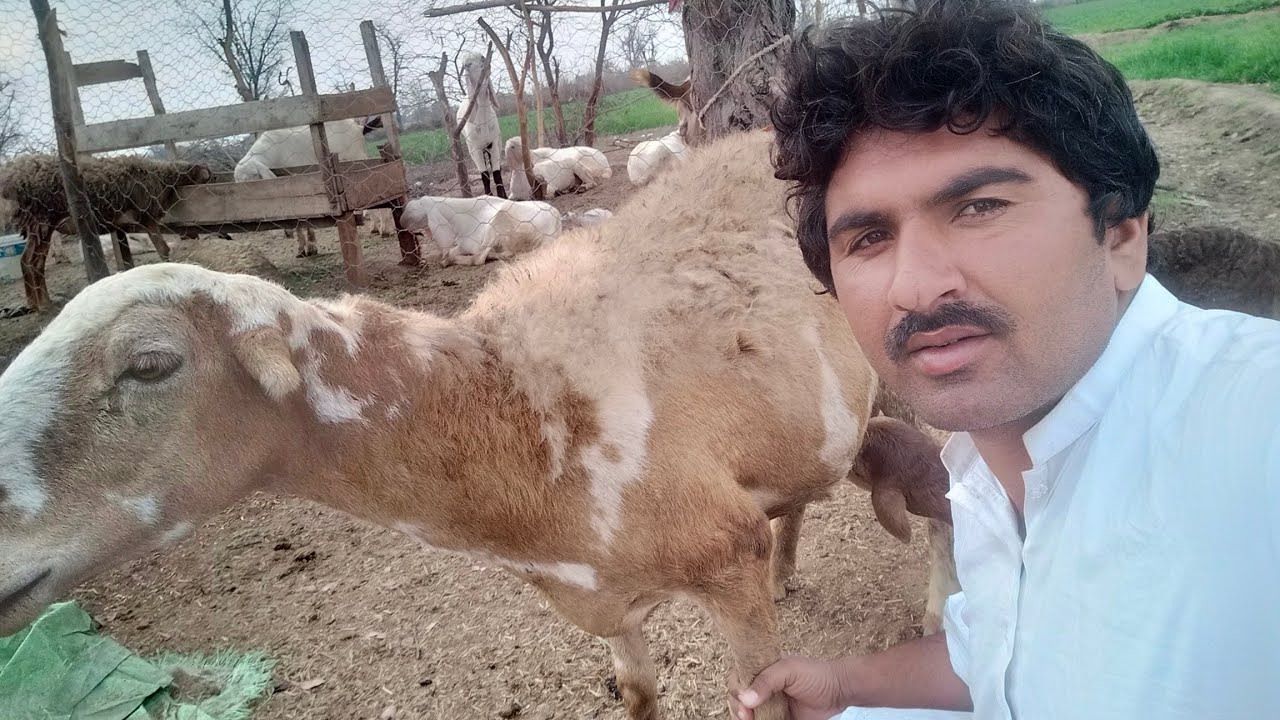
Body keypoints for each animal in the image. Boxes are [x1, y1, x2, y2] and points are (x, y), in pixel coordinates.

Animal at [0, 152, 214, 310]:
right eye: (206, 177)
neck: (162, 176)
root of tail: (10, 178)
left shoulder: (120, 226)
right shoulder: (146, 217)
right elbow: (163, 249)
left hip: (36, 225)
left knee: (27, 262)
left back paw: (34, 304)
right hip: (42, 221)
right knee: (32, 262)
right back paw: (43, 304)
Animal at [233, 115, 394, 256]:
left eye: (252, 180)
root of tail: (358, 128)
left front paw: (310, 247)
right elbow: (297, 221)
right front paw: (301, 249)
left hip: (358, 159)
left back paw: (384, 229)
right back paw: (375, 227)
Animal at [400, 194, 561, 267]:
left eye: (416, 209)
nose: (401, 222)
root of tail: (555, 222)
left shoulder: (473, 244)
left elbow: (467, 255)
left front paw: (445, 259)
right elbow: (449, 251)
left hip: (499, 221)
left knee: (481, 258)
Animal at [458, 52, 506, 199]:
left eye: (482, 57)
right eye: (466, 64)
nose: (485, 62)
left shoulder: (494, 143)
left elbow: (497, 173)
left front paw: (503, 197)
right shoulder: (475, 148)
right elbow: (484, 175)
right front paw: (489, 197)